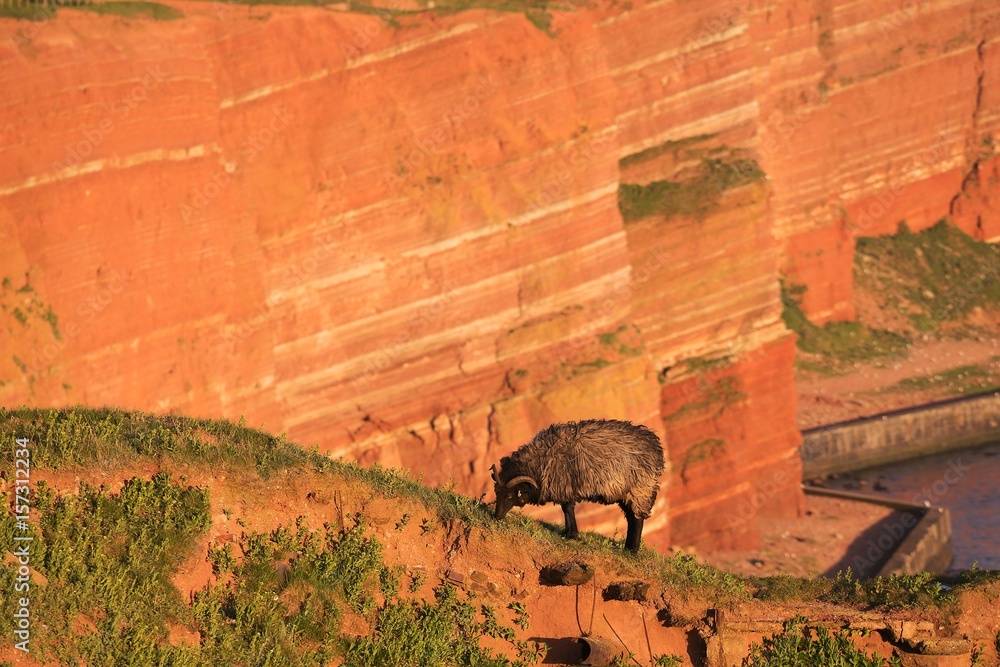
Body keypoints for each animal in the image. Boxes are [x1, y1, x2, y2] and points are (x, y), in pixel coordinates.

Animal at [490, 419, 664, 553]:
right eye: (497, 493)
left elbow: (567, 508)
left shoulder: (565, 486)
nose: (496, 516)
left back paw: (632, 550)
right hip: (626, 492)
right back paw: (627, 548)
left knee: (637, 519)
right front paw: (568, 532)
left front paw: (571, 534)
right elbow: (566, 509)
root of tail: (654, 444)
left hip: (640, 489)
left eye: (510, 495)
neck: (539, 461)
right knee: (630, 518)